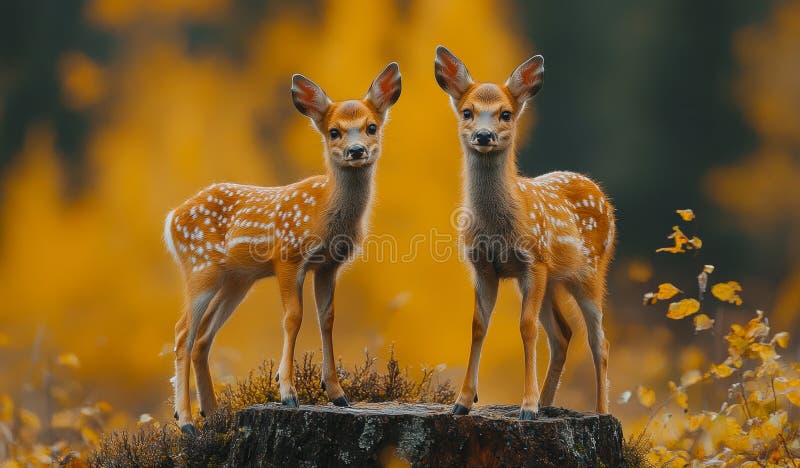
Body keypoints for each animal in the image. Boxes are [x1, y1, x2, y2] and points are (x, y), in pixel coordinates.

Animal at [164, 63, 401, 434]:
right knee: (181, 333)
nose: (356, 151)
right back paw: (186, 421)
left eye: (371, 127)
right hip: (200, 268)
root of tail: (172, 217)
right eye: (334, 132)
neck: (324, 212)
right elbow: (293, 317)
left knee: (202, 337)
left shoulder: (329, 264)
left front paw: (337, 393)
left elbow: (326, 318)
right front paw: (287, 390)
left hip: (237, 280)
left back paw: (213, 413)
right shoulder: (288, 257)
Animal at [434, 46, 615, 420]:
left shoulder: (534, 262)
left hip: (590, 274)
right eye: (467, 112)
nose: (483, 136)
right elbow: (478, 325)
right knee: (563, 334)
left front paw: (527, 406)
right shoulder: (484, 267)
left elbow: (526, 327)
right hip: (553, 282)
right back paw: (548, 403)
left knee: (599, 340)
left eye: (505, 113)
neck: (497, 228)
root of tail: (599, 191)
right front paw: (462, 402)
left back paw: (600, 411)